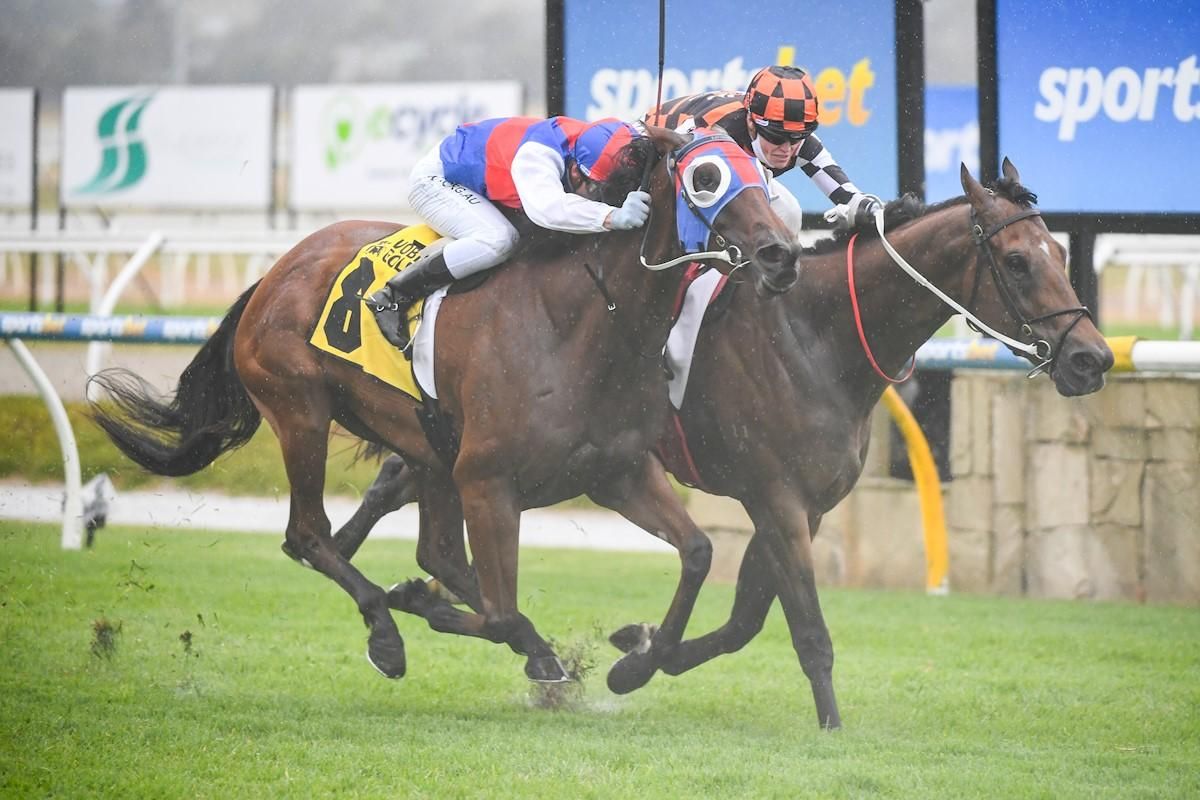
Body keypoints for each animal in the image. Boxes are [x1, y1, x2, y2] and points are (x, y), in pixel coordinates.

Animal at [88, 126, 803, 687]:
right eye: (706, 178)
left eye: (762, 174)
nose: (782, 254)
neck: (584, 323)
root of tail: (274, 272)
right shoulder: (489, 480)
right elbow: (501, 608)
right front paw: (448, 619)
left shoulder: (615, 471)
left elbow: (698, 553)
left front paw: (637, 662)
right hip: (301, 413)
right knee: (309, 535)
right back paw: (386, 630)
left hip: (425, 446)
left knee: (434, 552)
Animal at [319, 159, 1113, 729]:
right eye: (1018, 261)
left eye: (1057, 251)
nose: (1092, 360)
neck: (818, 336)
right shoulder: (777, 496)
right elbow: (803, 624)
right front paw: (829, 723)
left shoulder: (802, 505)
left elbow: (744, 620)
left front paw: (636, 652)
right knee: (403, 494)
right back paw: (383, 596)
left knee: (410, 495)